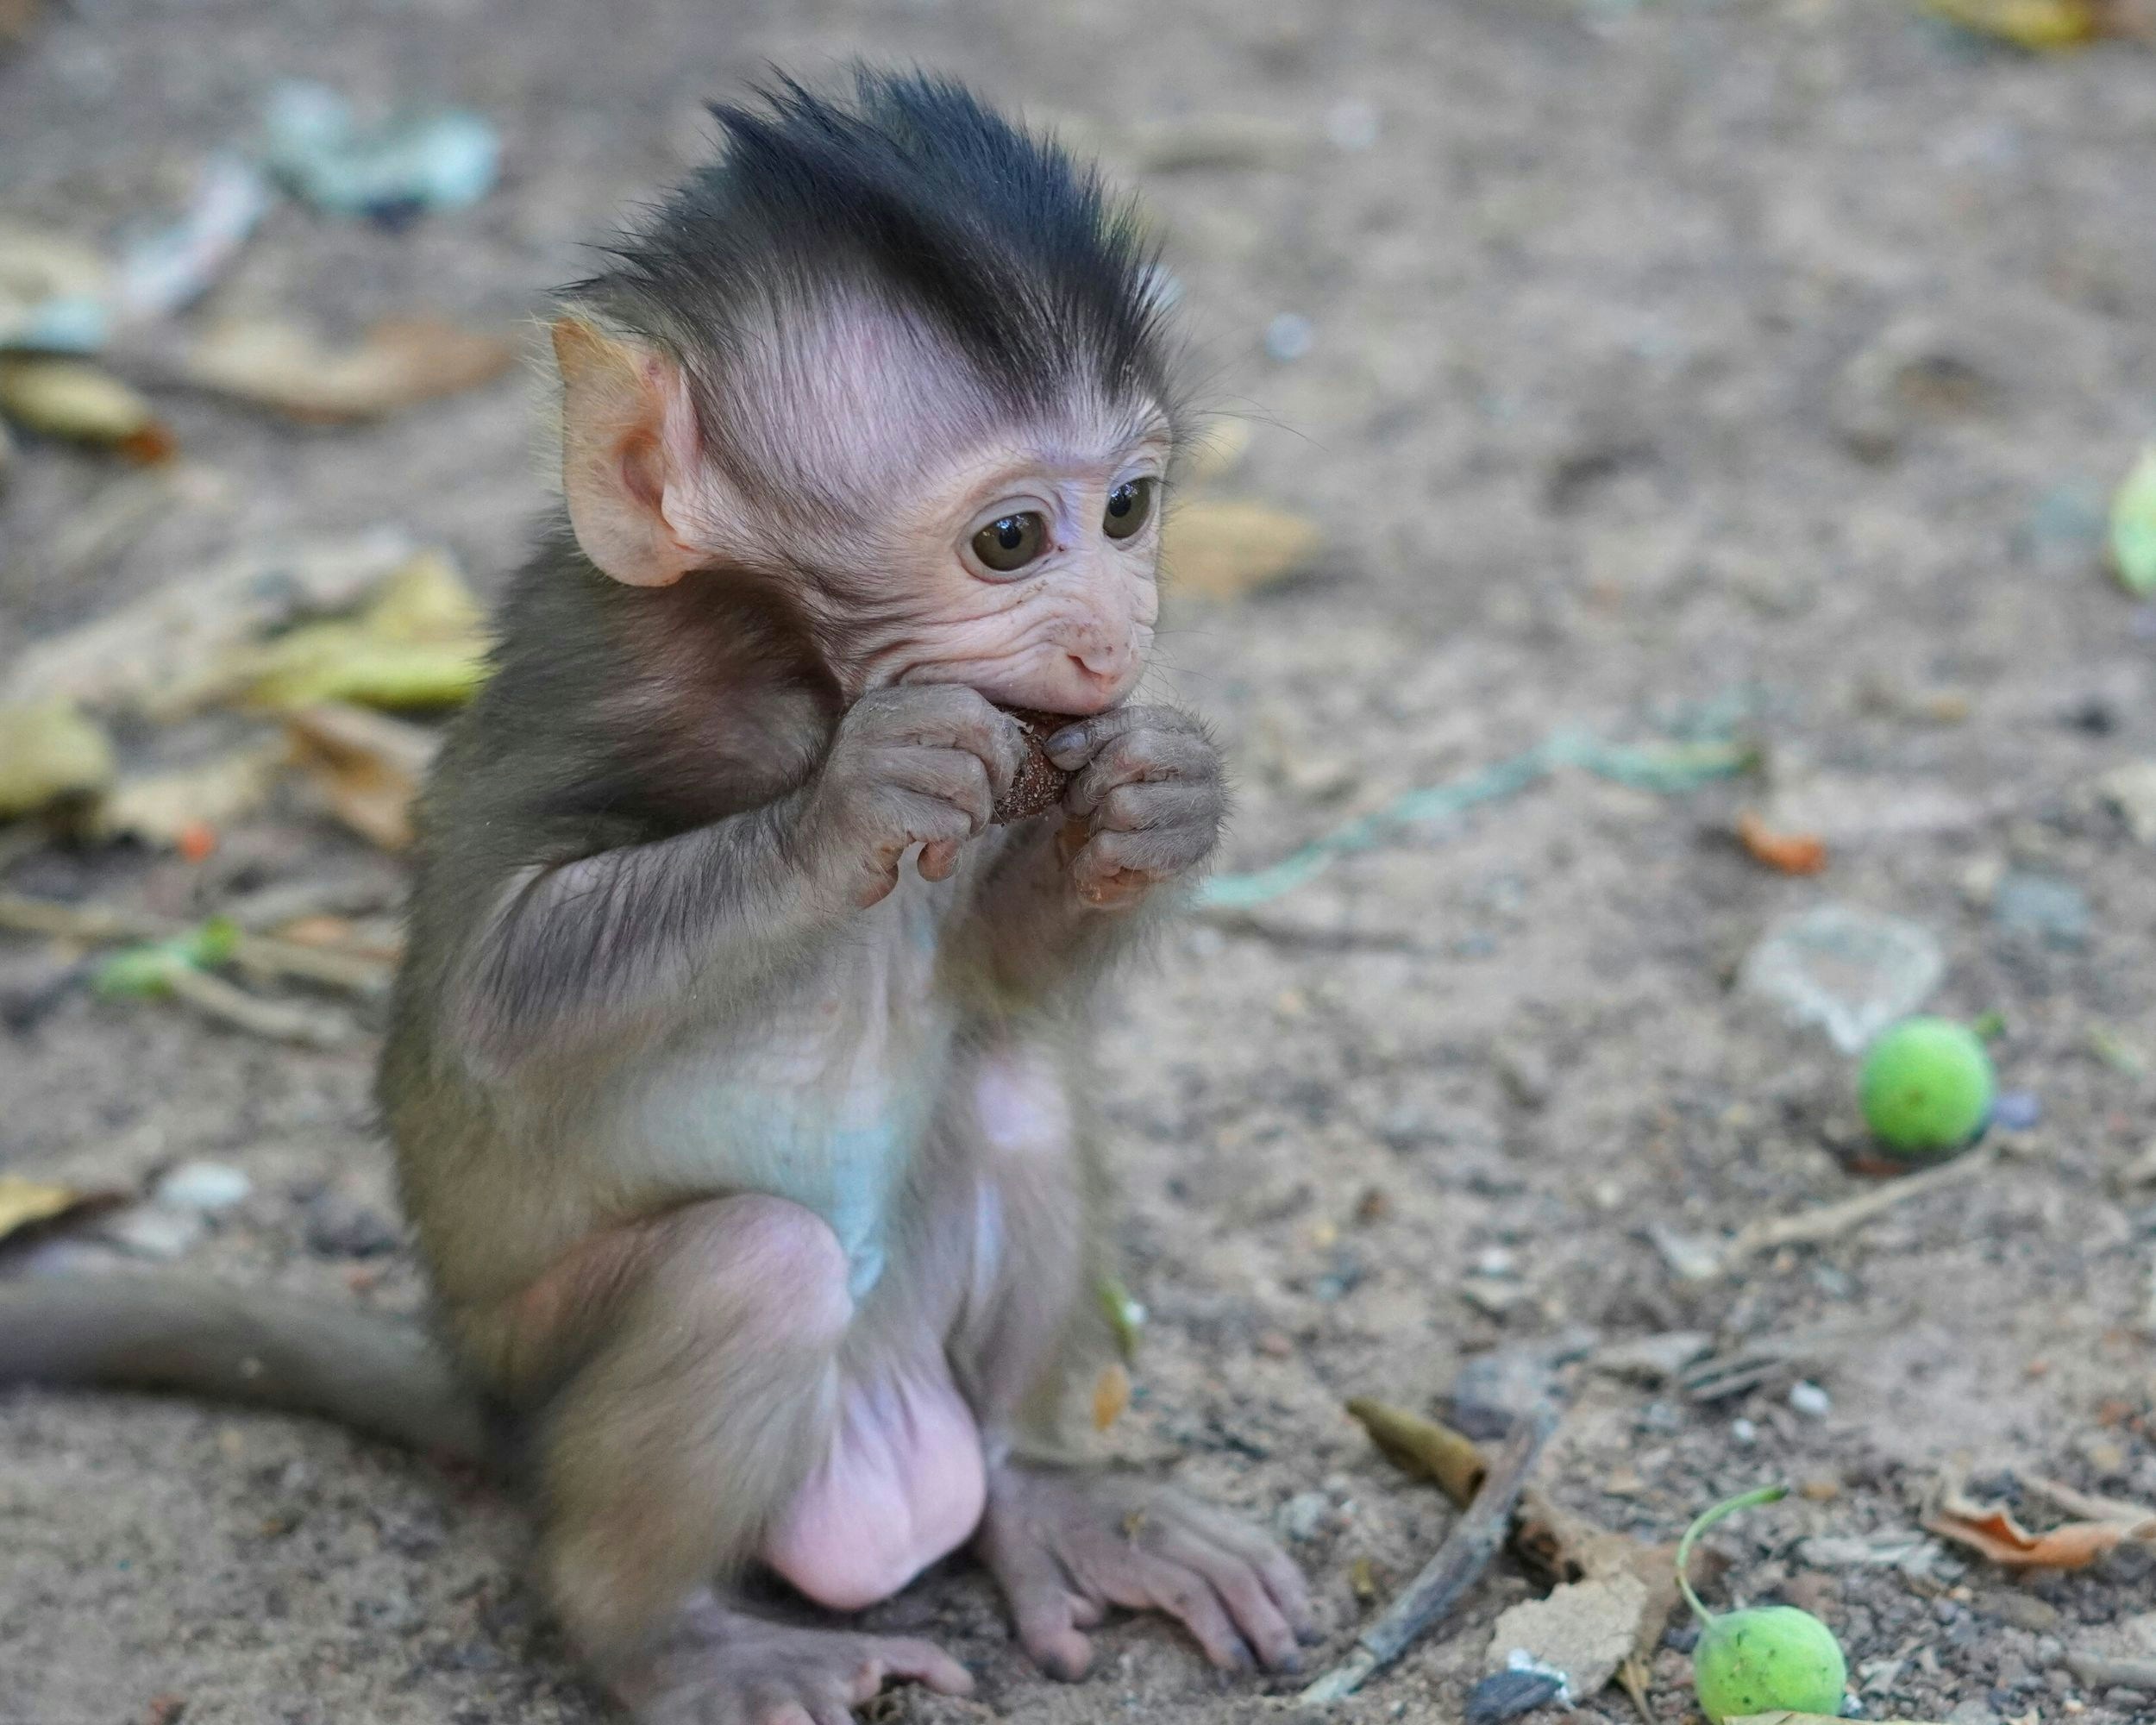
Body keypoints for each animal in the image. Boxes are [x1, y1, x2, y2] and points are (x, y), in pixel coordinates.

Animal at [0, 72, 1313, 1725]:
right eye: (1012, 540)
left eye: (1131, 509)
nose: (1111, 635)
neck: (797, 665)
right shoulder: (607, 679)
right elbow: (496, 1000)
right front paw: (854, 804)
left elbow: (1002, 985)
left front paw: (1163, 792)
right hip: (550, 1369)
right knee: (747, 1271)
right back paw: (668, 1637)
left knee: (1008, 1092)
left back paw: (1049, 1496)